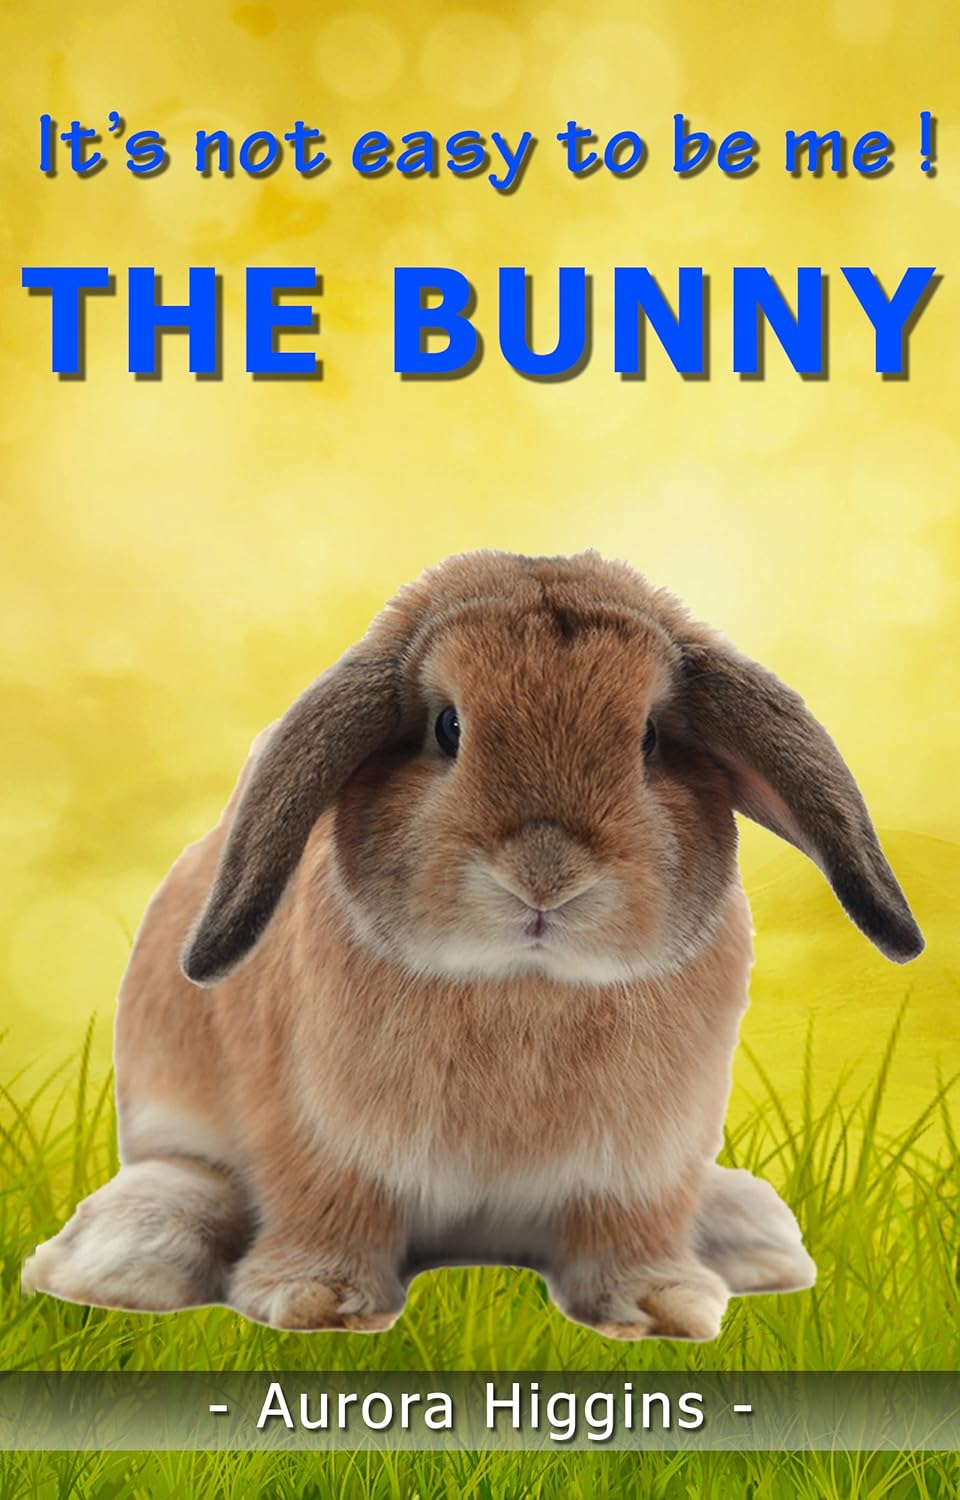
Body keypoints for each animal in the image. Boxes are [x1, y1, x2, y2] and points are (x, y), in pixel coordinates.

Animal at [23, 550, 923, 1340]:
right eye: (447, 728)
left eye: (650, 740)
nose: (545, 879)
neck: (522, 987)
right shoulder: (316, 1132)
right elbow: (326, 1205)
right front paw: (320, 1301)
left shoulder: (643, 1162)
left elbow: (630, 1232)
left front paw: (658, 1306)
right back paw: (121, 1255)